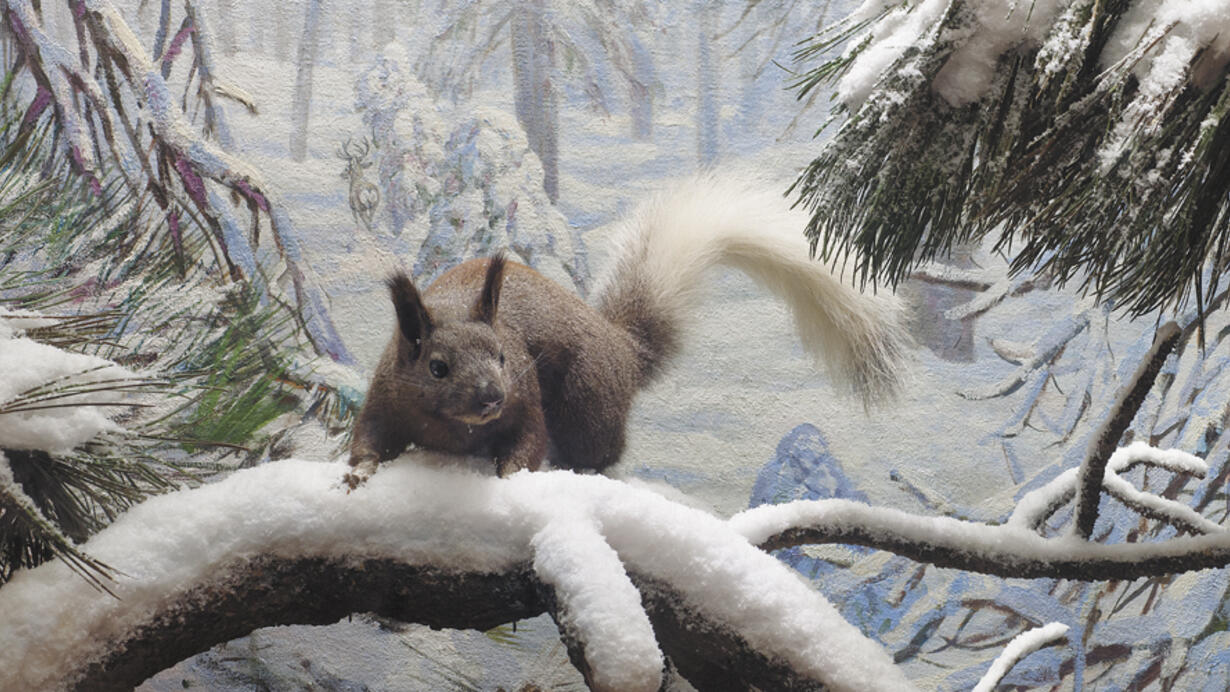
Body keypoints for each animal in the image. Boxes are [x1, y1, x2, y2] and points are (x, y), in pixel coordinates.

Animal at [344, 174, 910, 486]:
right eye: (437, 367)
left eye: (504, 355)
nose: (491, 396)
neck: (455, 428)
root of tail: (622, 349)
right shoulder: (387, 395)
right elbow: (368, 436)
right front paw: (358, 474)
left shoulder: (526, 399)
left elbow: (528, 441)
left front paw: (510, 477)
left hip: (587, 400)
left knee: (600, 451)